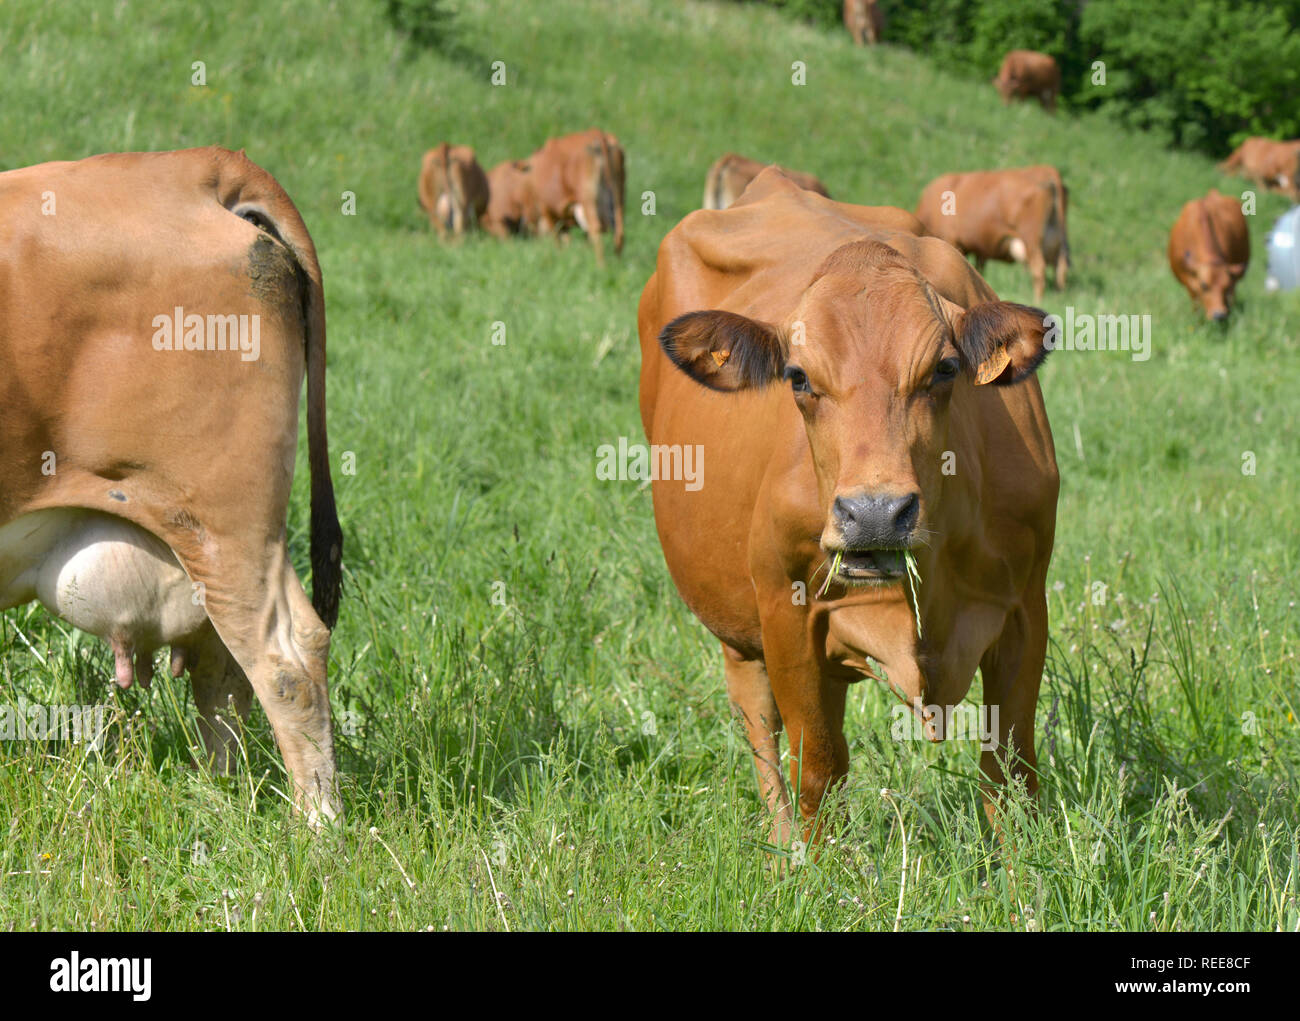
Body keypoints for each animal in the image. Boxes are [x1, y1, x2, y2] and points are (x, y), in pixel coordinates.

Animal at [0, 147, 343, 826]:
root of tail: (195, 164)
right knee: (224, 673)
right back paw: (221, 802)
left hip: (228, 523)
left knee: (287, 663)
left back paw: (318, 828)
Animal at [525, 128, 626, 264]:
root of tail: (598, 134)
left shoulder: (547, 210)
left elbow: (557, 239)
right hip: (619, 195)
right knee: (619, 230)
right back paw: (617, 262)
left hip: (588, 199)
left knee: (596, 230)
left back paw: (600, 264)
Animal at [915, 165, 1070, 303]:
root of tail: (1047, 170)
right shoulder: (980, 250)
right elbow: (978, 271)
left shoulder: (952, 239)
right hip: (1057, 240)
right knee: (1060, 268)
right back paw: (1059, 296)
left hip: (1031, 239)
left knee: (1039, 269)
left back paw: (1037, 301)